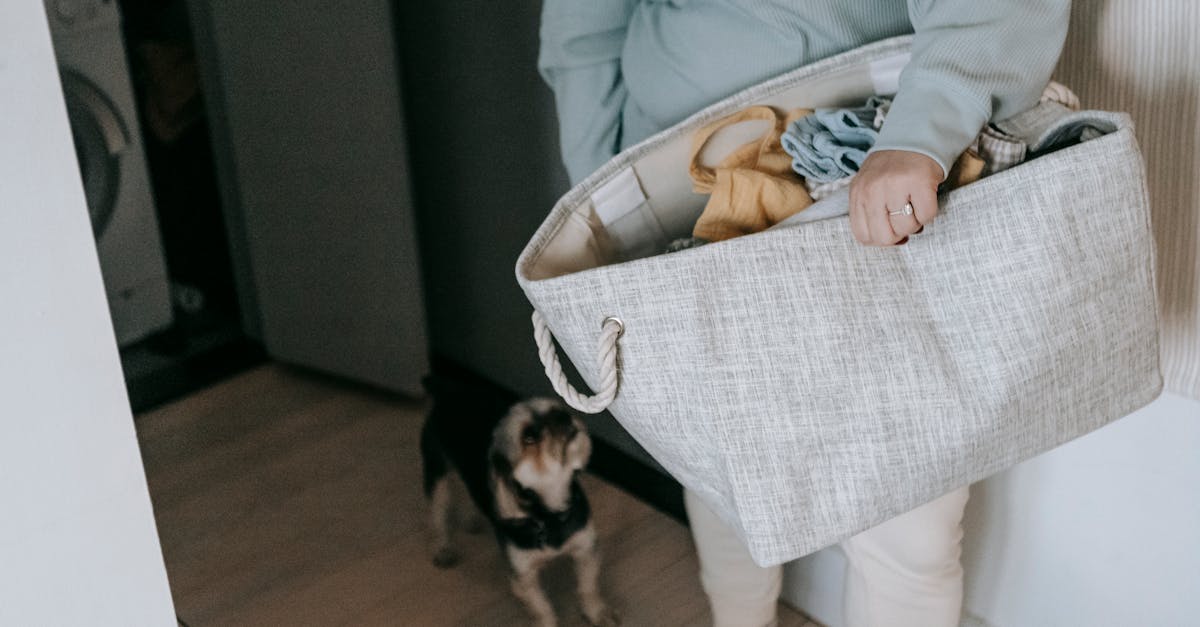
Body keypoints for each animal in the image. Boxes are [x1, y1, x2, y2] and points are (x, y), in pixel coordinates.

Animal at [420, 374, 619, 624]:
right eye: (529, 437)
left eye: (557, 409)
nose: (563, 416)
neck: (548, 516)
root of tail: (444, 388)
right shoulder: (523, 577)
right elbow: (543, 609)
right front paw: (549, 621)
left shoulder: (585, 547)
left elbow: (588, 587)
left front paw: (597, 613)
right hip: (436, 472)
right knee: (438, 513)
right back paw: (443, 548)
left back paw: (471, 519)